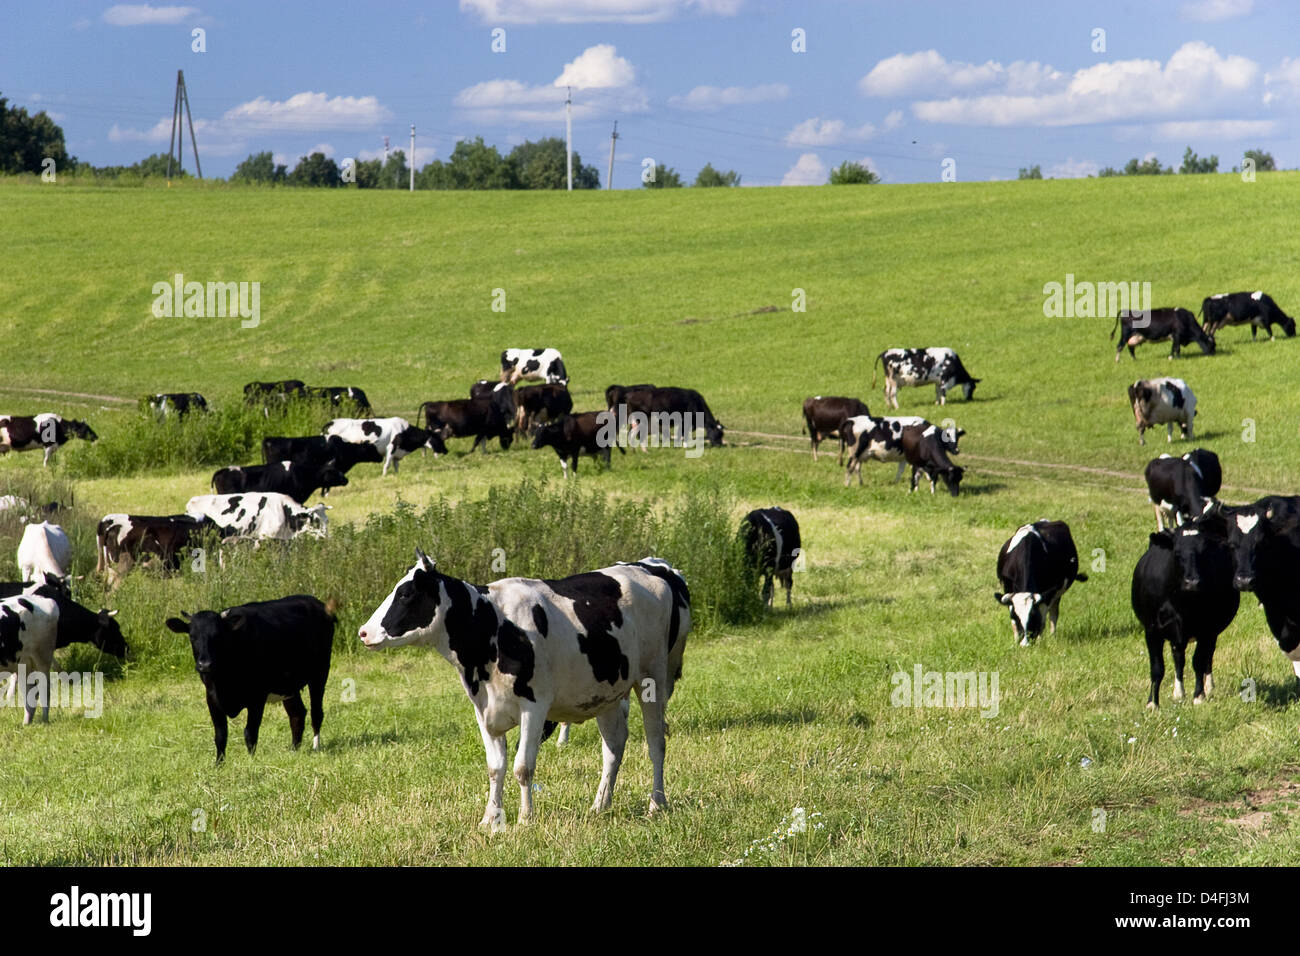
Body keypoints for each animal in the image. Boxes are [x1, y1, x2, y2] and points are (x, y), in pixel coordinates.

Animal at [165, 595, 337, 762]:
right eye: (192, 637)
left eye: (218, 636)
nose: (205, 665)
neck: (224, 680)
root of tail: (315, 602)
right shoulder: (212, 698)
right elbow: (220, 736)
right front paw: (219, 764)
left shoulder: (257, 698)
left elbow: (250, 733)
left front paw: (251, 762)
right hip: (289, 685)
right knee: (297, 714)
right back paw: (294, 750)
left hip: (320, 673)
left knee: (316, 713)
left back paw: (315, 747)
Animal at [358, 549, 690, 829]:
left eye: (406, 594)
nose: (363, 632)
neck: (492, 626)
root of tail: (654, 567)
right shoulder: (484, 710)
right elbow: (495, 767)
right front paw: (490, 820)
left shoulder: (535, 706)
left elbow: (522, 767)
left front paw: (525, 819)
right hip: (606, 692)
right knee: (614, 746)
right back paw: (600, 806)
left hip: (653, 678)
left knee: (655, 742)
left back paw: (656, 804)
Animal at [1132, 515, 1239, 709]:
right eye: (1177, 553)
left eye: (1204, 552)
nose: (1192, 582)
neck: (1182, 602)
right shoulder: (1151, 630)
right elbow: (1157, 668)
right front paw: (1152, 703)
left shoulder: (1207, 629)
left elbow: (1198, 662)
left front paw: (1199, 695)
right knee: (1178, 657)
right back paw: (1179, 692)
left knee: (1207, 657)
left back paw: (1209, 687)